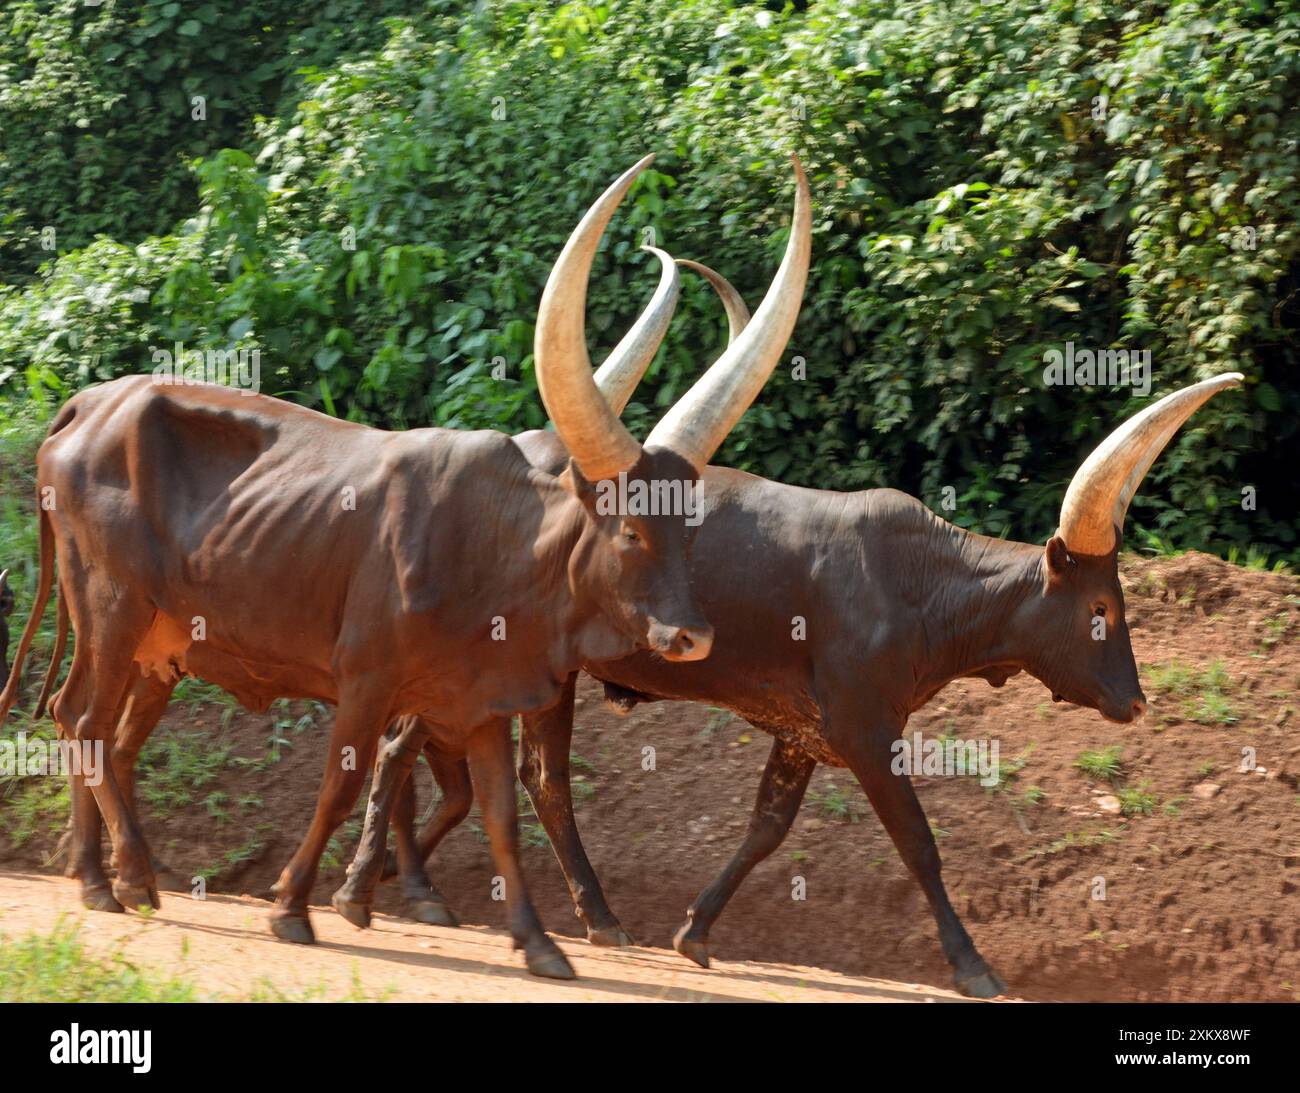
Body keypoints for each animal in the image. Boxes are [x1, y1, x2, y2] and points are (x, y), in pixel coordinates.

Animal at [0, 156, 812, 978]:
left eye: (687, 530)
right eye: (630, 531)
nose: (691, 637)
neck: (492, 549)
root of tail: (90, 406)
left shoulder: (482, 701)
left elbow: (498, 814)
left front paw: (536, 940)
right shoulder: (366, 681)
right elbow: (345, 782)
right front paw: (295, 904)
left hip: (155, 646)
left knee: (101, 731)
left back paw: (106, 873)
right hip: (111, 610)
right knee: (85, 721)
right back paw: (121, 878)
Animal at [335, 258, 1244, 997]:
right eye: (1100, 609)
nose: (1136, 702)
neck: (922, 584)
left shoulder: (803, 732)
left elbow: (765, 829)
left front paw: (695, 931)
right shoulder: (865, 729)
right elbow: (918, 842)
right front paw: (974, 965)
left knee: (457, 755)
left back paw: (440, 890)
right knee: (485, 764)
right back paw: (383, 892)